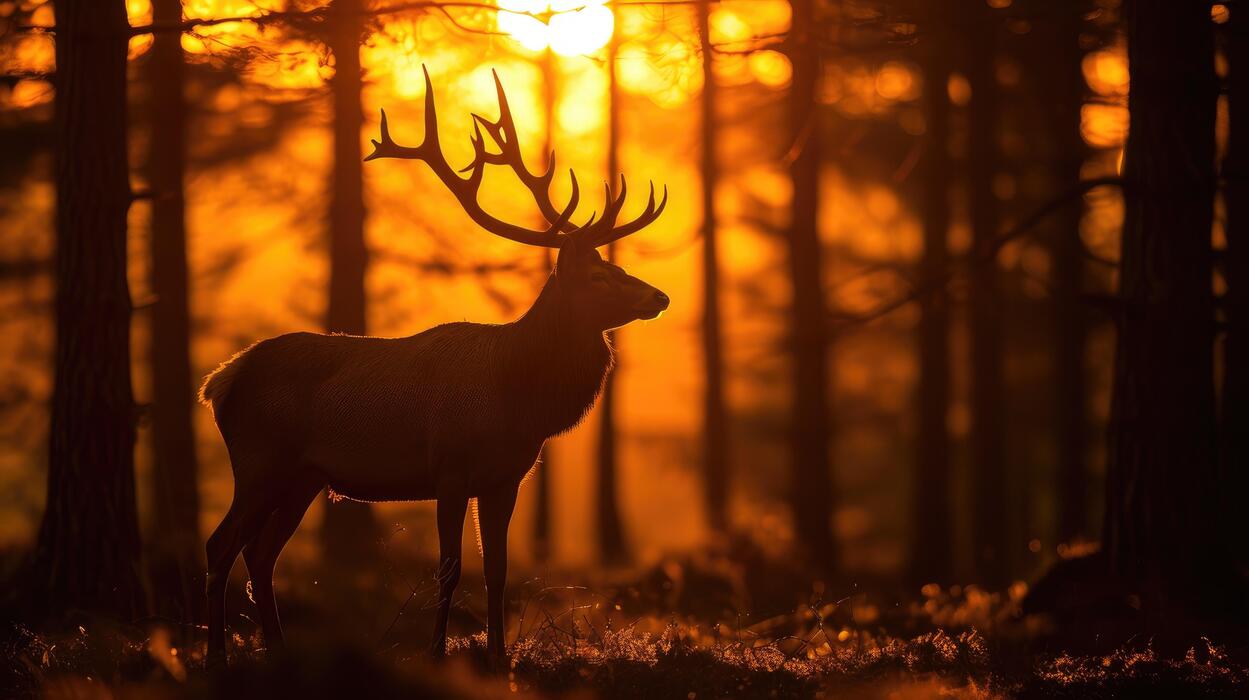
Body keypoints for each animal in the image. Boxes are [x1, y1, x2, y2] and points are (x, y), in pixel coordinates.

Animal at [198, 67, 669, 665]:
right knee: (221, 544)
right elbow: (449, 567)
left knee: (260, 553)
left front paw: (498, 656)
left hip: (302, 476)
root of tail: (220, 381)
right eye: (598, 276)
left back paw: (279, 651)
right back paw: (216, 657)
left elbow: (497, 571)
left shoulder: (506, 477)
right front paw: (437, 653)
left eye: (618, 266)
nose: (659, 296)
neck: (519, 399)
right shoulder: (449, 465)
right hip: (259, 460)